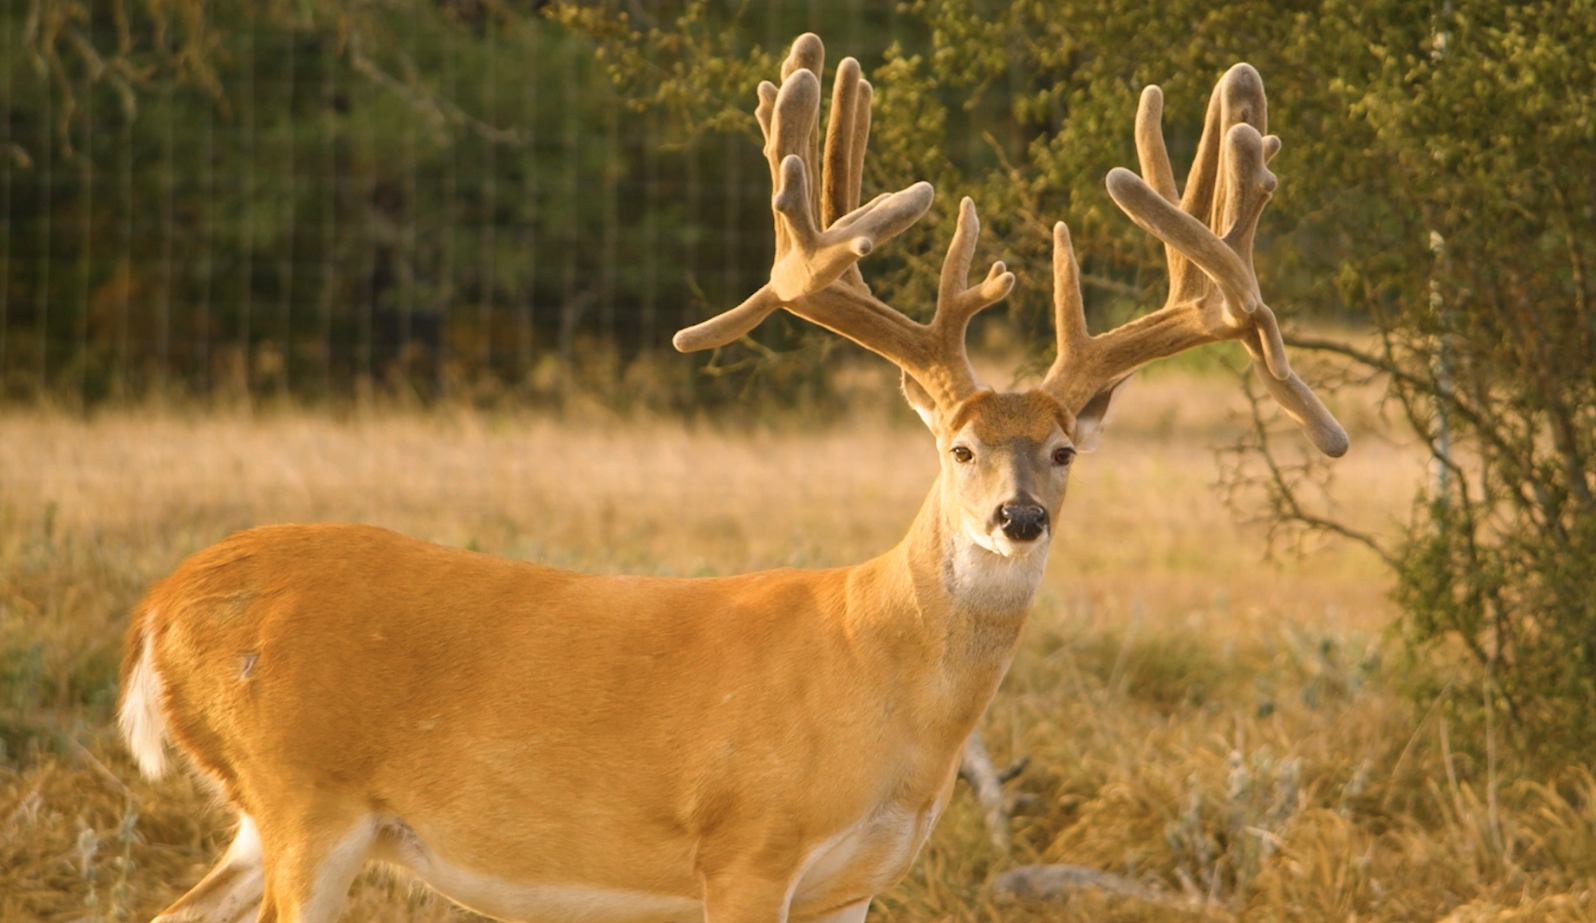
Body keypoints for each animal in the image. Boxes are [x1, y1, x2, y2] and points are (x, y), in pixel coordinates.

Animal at [118, 33, 1346, 923]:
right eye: (955, 445)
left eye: (1064, 448)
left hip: (263, 814)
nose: (1019, 516)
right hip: (305, 794)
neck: (881, 685)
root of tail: (158, 607)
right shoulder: (746, 847)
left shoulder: (853, 884)